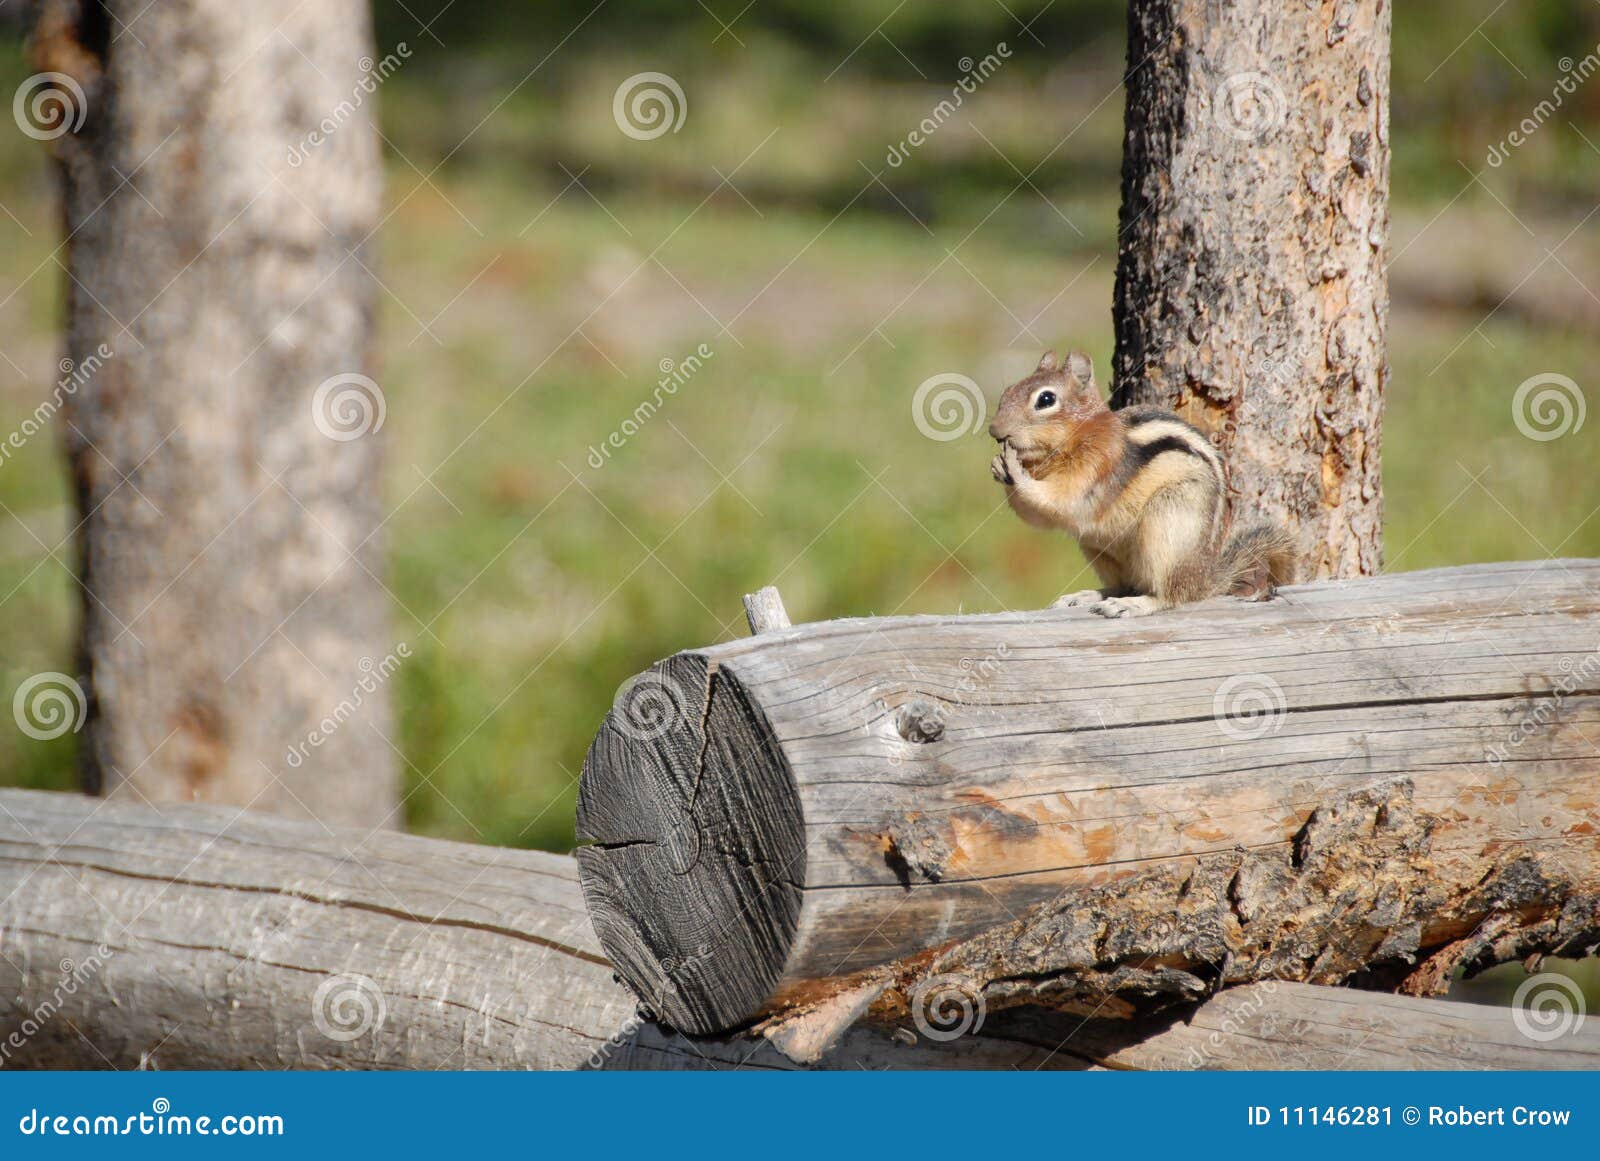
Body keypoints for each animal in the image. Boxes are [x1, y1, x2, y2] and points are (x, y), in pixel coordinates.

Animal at [989, 349, 1297, 618]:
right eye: (1007, 392)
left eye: (1046, 399)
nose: (994, 430)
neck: (1081, 435)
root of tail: (1204, 578)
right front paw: (999, 466)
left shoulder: (1097, 468)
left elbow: (1060, 500)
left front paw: (1014, 470)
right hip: (1098, 548)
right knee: (1125, 585)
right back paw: (1087, 596)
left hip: (1167, 523)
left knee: (1171, 595)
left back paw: (1133, 605)